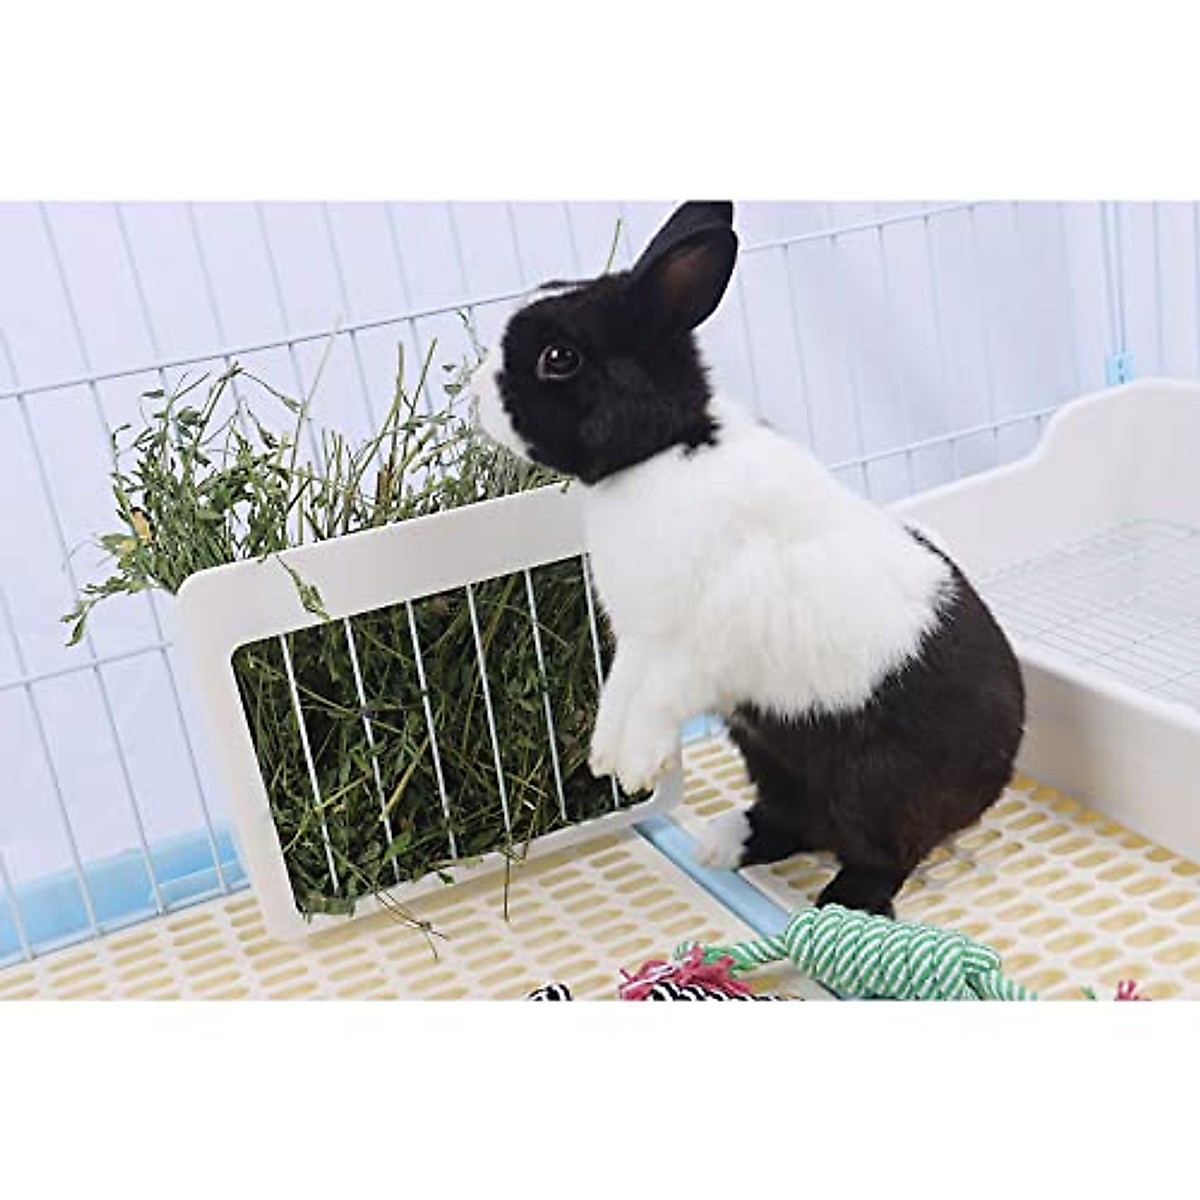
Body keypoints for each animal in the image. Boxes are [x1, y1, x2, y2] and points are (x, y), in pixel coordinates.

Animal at [470, 200, 1024, 917]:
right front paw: (606, 760)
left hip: (876, 785)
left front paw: (636, 767)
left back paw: (839, 903)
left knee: (884, 851)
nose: (473, 395)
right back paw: (723, 843)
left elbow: (656, 701)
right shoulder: (638, 642)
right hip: (772, 756)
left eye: (558, 358)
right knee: (799, 818)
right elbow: (621, 696)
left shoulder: (693, 650)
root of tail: (996, 774)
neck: (666, 449)